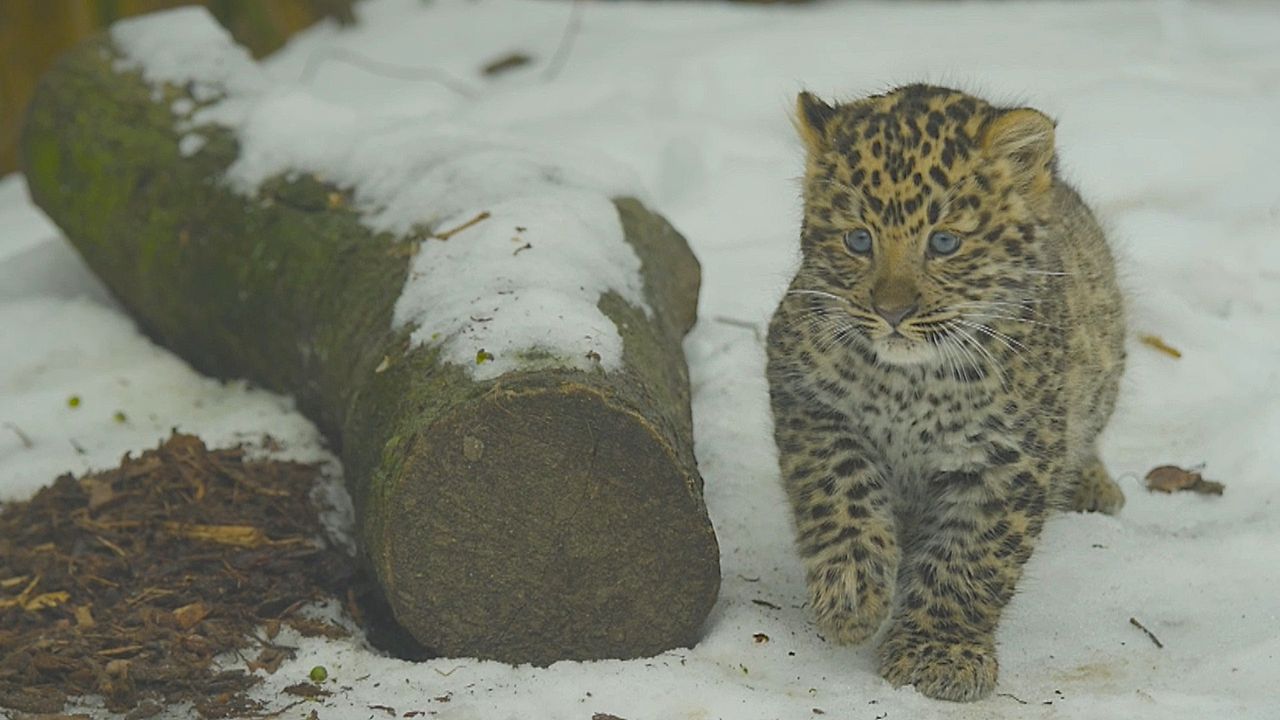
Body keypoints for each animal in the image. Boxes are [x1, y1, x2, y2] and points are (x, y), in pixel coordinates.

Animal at [765, 84, 1126, 702]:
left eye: (943, 242)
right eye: (858, 240)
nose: (892, 311)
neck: (912, 384)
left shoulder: (1011, 458)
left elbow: (970, 560)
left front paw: (938, 654)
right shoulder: (804, 394)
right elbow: (838, 489)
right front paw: (851, 594)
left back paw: (1092, 485)